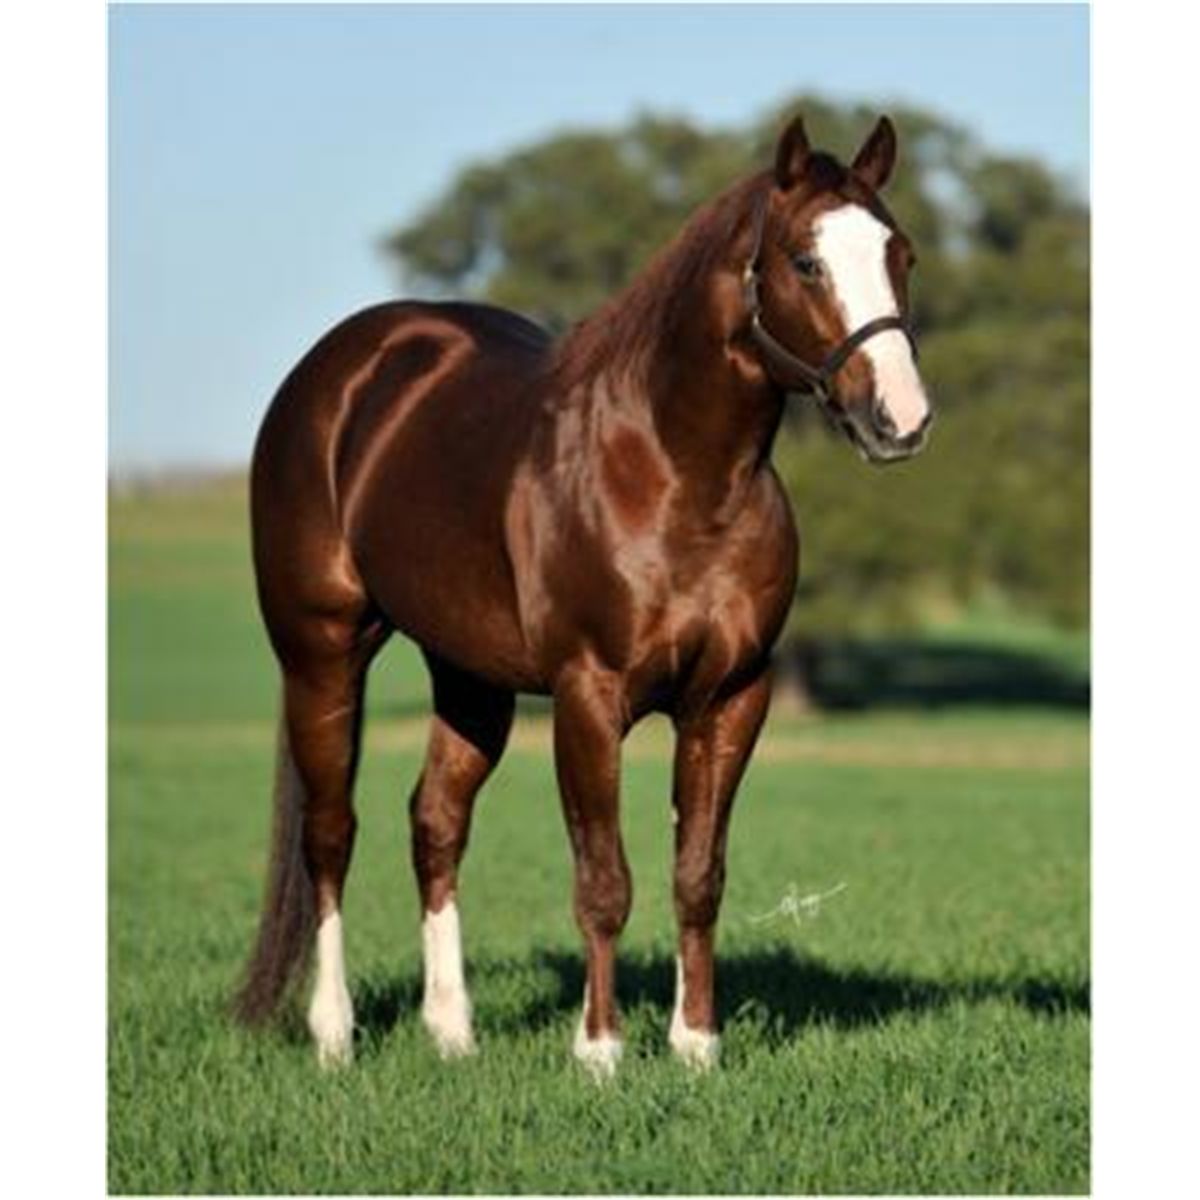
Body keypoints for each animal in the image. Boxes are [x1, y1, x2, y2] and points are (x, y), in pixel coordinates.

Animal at [233, 114, 932, 1075]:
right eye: (804, 261)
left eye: (900, 253)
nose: (900, 419)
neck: (674, 472)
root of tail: (340, 370)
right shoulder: (588, 697)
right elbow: (604, 881)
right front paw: (600, 1051)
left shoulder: (731, 697)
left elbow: (697, 876)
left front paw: (695, 1044)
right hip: (322, 651)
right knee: (331, 833)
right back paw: (334, 1035)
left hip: (470, 677)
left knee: (435, 821)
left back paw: (453, 1033)